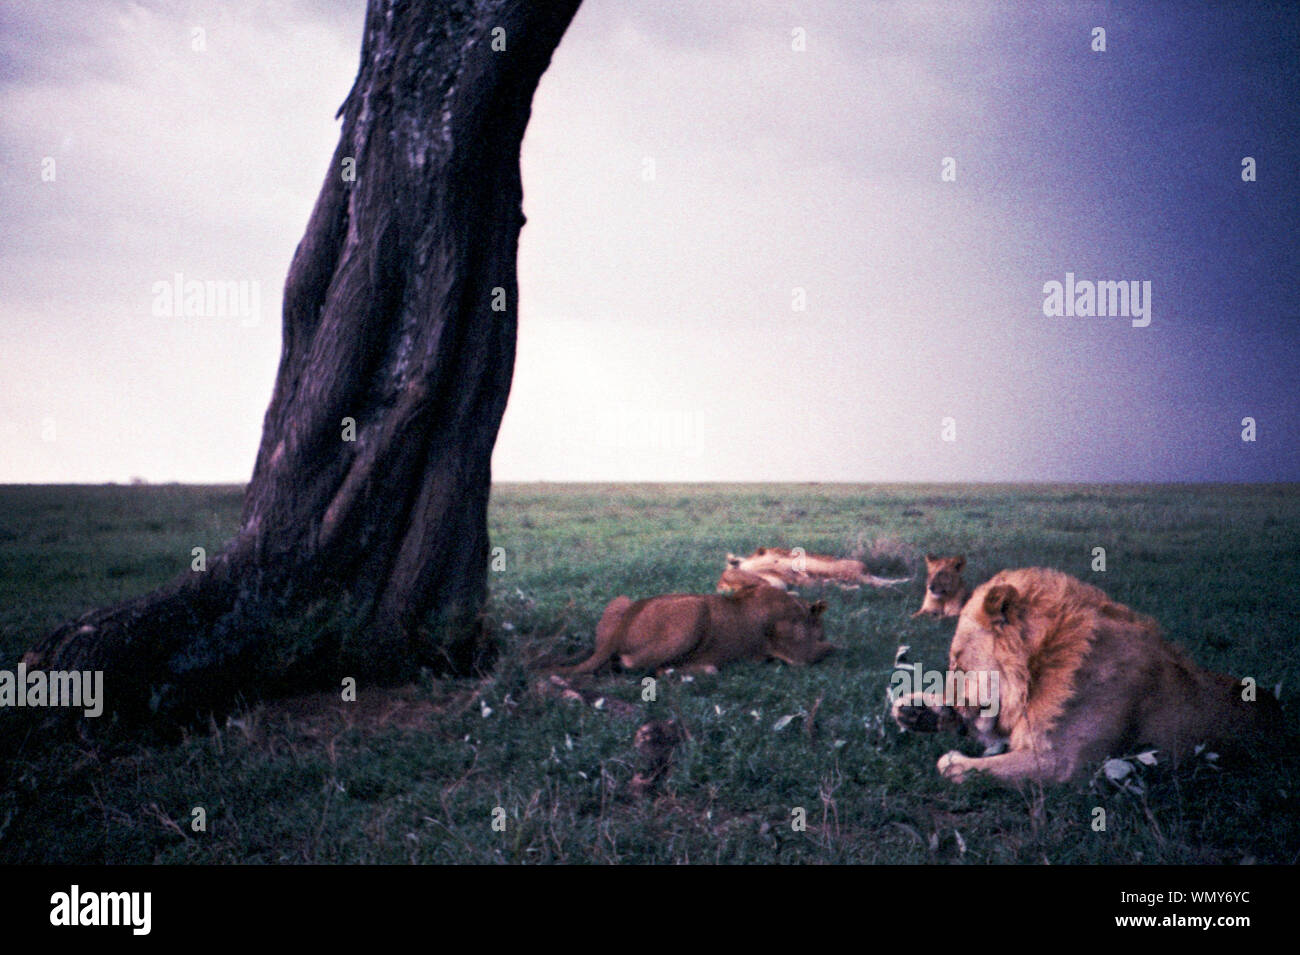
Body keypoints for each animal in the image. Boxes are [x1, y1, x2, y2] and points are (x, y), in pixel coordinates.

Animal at [558, 586, 834, 676]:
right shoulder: (800, 654)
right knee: (643, 665)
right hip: (697, 609)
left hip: (620, 600)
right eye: (819, 628)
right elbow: (832, 647)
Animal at [891, 567, 1283, 785]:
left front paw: (953, 758)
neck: (1041, 665)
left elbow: (958, 767)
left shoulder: (1064, 763)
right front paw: (917, 709)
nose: (955, 710)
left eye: (958, 663)